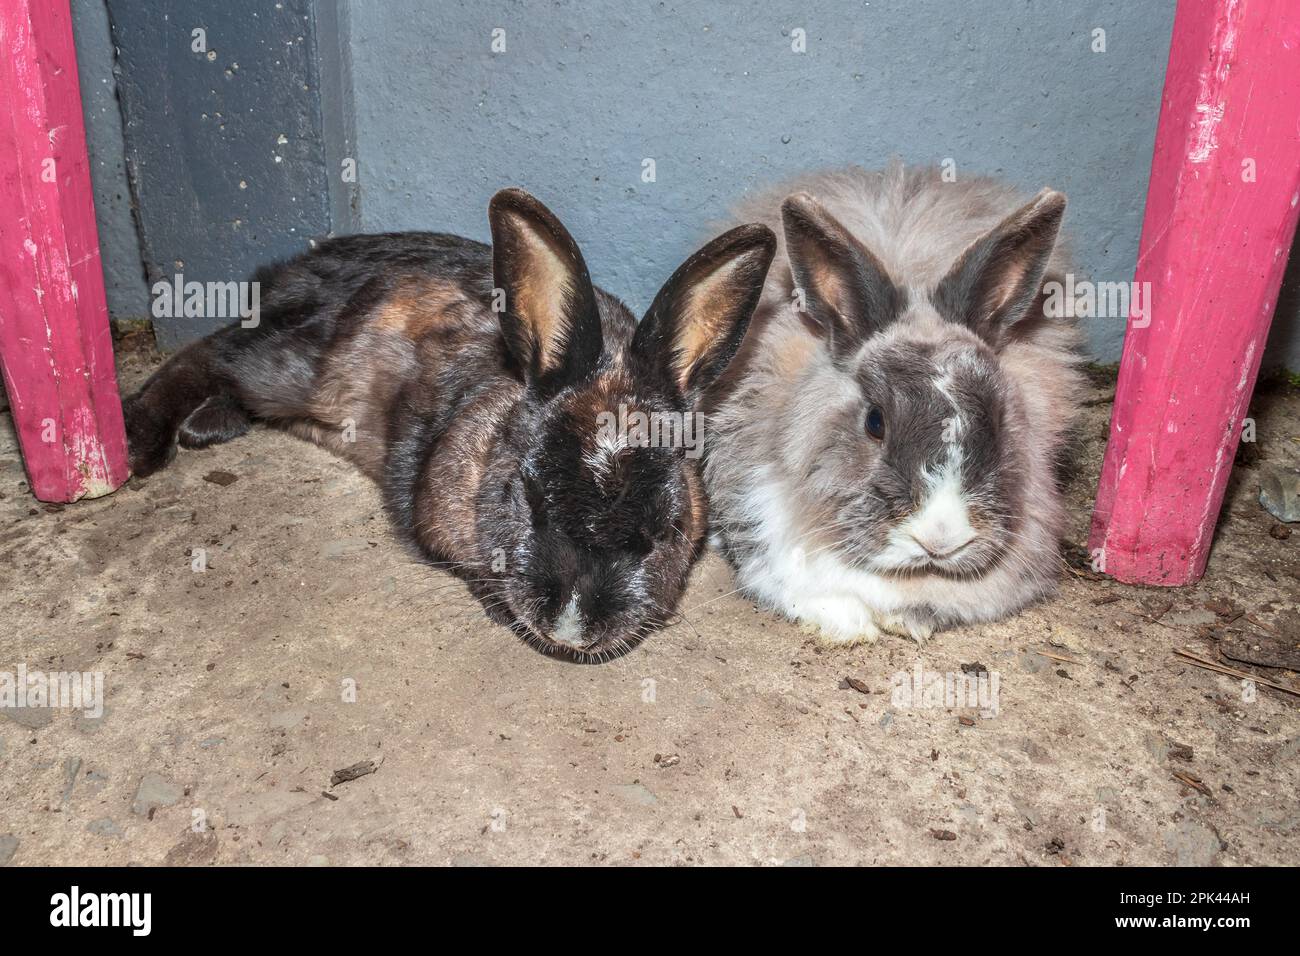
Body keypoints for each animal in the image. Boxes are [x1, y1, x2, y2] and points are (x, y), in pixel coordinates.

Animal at [125, 188, 776, 661]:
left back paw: (207, 426)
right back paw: (143, 442)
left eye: (669, 525)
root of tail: (291, 271)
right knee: (213, 352)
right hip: (293, 363)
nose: (572, 626)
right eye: (526, 494)